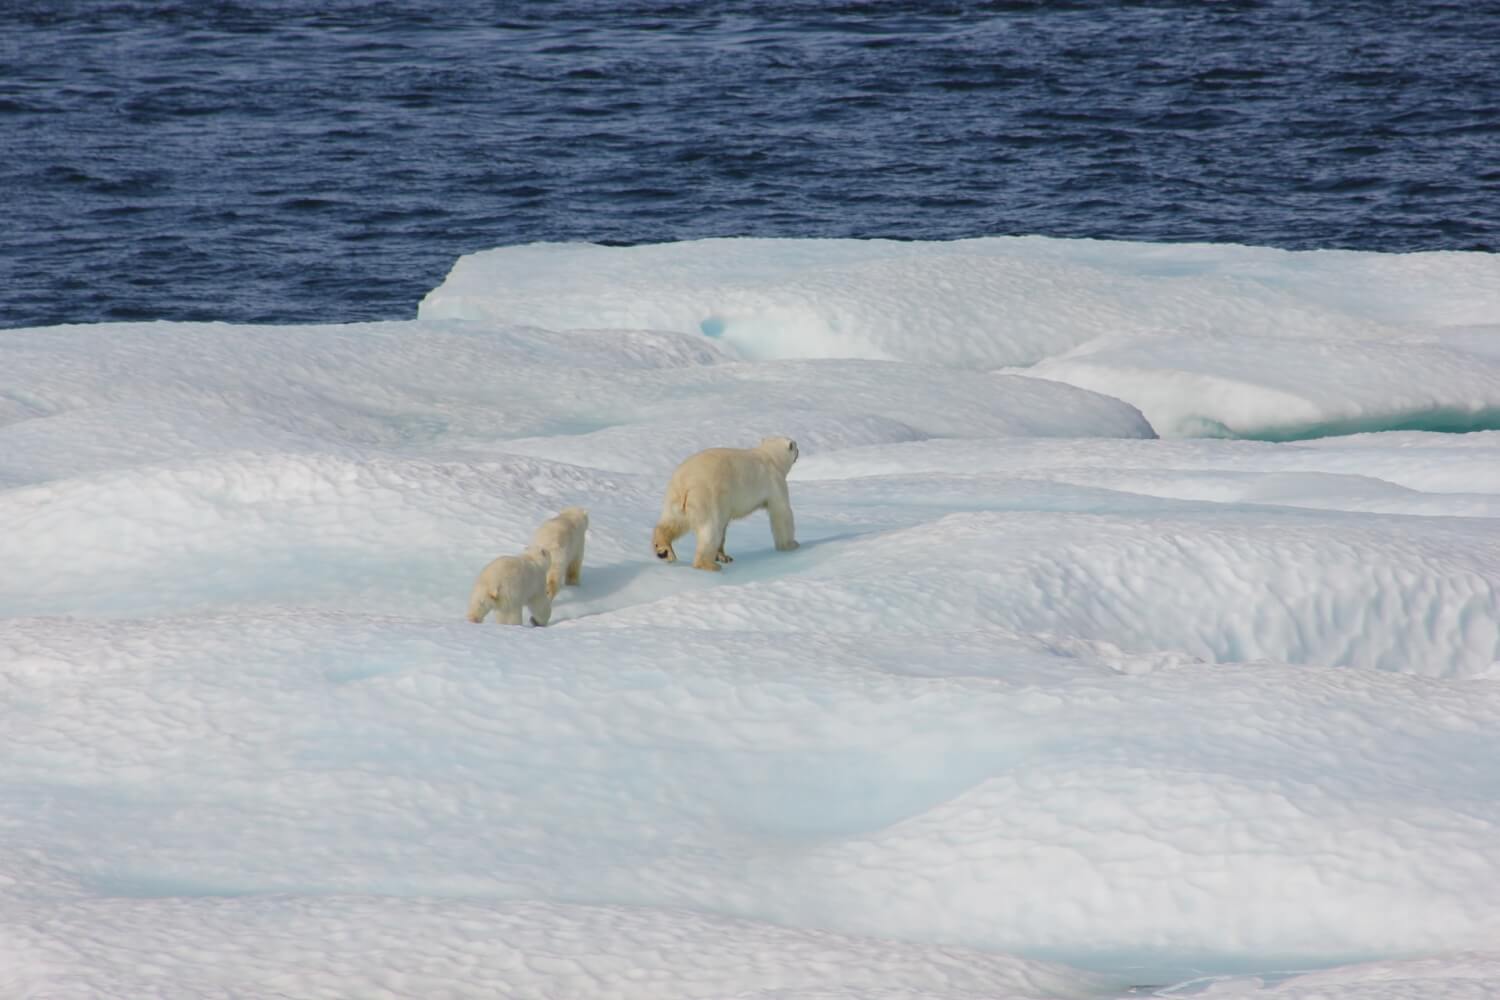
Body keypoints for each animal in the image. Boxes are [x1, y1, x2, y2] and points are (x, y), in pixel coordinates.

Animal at [652, 436, 800, 571]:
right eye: (795, 445)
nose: (798, 450)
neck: (770, 456)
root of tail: (685, 482)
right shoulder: (774, 482)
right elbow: (781, 512)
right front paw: (791, 545)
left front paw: (723, 556)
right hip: (707, 496)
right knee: (710, 530)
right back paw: (709, 565)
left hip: (675, 497)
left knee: (673, 522)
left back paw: (663, 550)